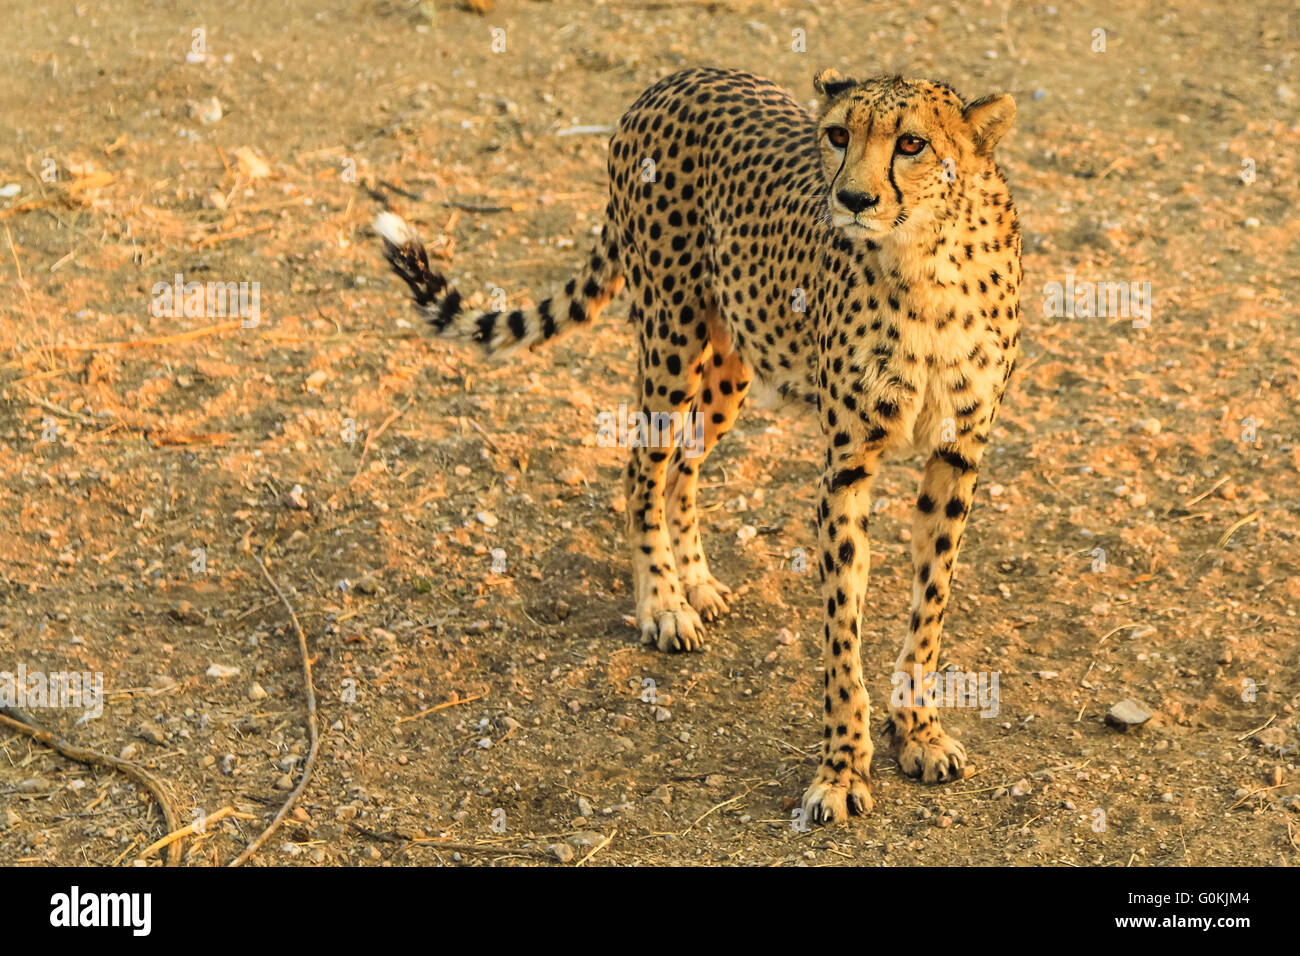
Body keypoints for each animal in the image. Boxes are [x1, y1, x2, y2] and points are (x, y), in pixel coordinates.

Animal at [375, 66, 1021, 824]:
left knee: (684, 463)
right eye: (838, 135)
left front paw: (917, 731)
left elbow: (929, 610)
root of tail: (675, 78)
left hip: (732, 358)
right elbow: (842, 634)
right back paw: (662, 603)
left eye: (912, 143)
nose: (853, 199)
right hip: (670, 338)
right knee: (640, 467)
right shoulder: (847, 467)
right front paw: (841, 769)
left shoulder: (957, 459)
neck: (926, 259)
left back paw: (697, 582)